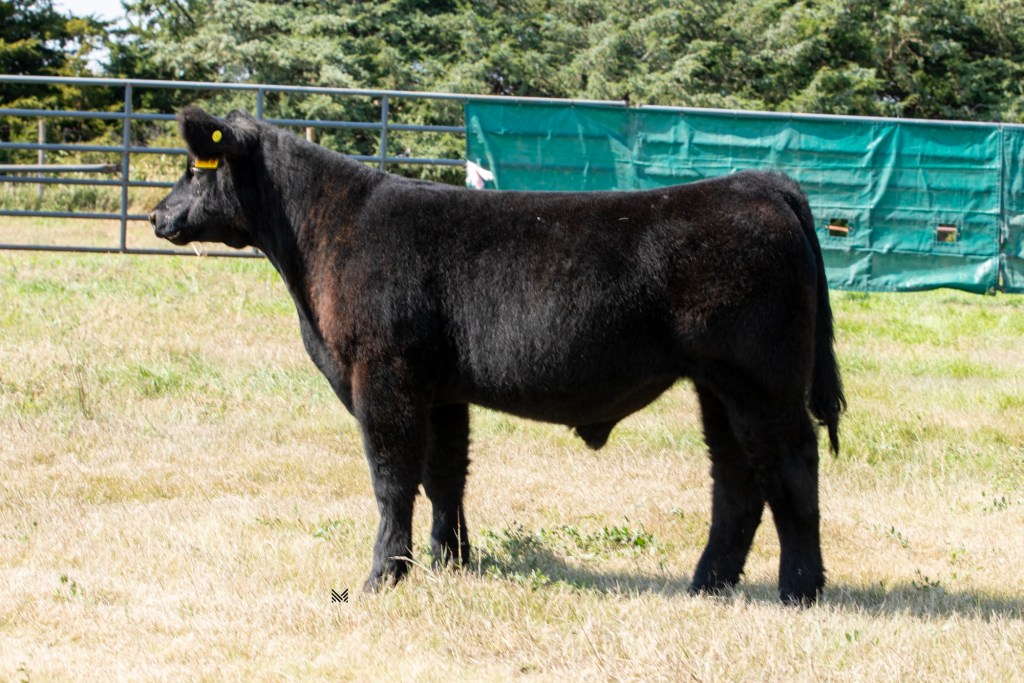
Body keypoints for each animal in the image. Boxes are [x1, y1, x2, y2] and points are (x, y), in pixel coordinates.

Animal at [150, 106, 845, 605]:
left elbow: (392, 477)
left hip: (763, 380)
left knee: (789, 466)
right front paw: (450, 561)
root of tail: (758, 183)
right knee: (735, 477)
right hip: (718, 385)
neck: (325, 233)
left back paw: (799, 589)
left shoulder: (383, 374)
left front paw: (383, 576)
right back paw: (709, 583)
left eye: (196, 168)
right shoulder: (441, 389)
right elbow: (444, 475)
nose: (157, 216)